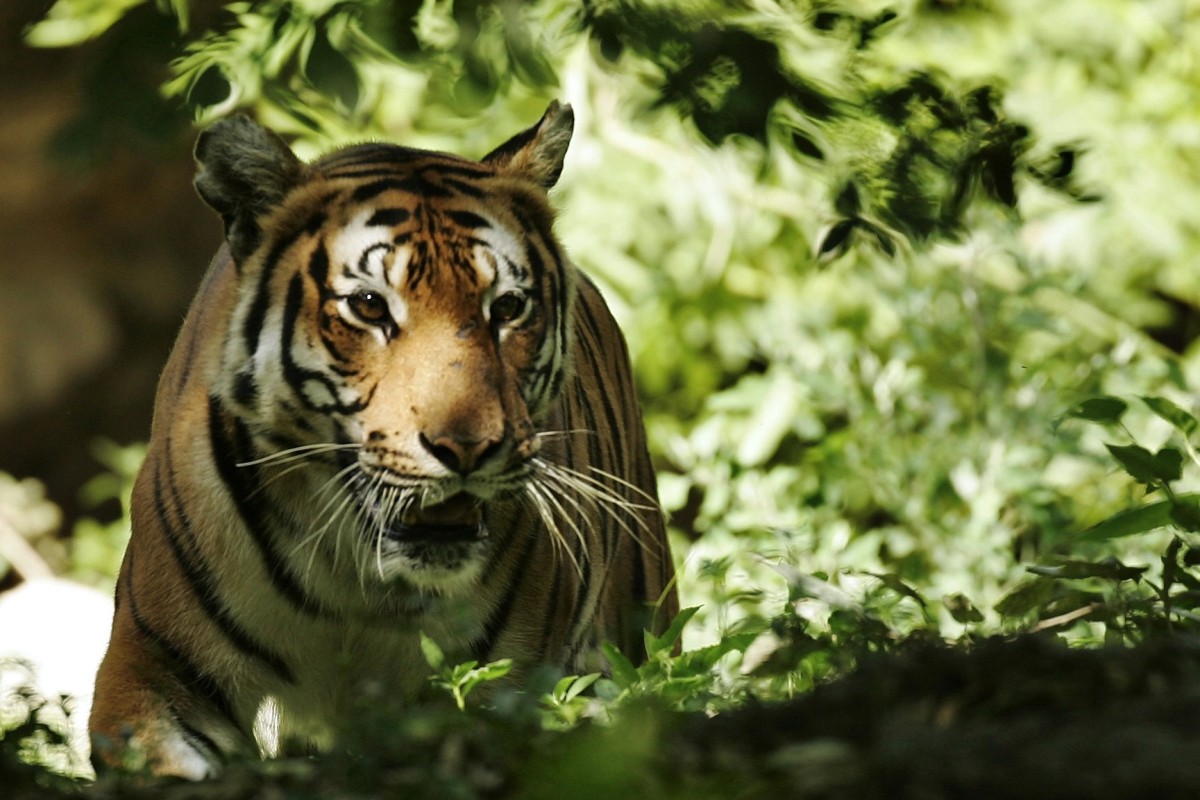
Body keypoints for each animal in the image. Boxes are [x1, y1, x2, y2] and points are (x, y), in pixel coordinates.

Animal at [87, 101, 678, 779]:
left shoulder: (503, 690)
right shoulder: (154, 668)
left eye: (507, 308)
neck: (352, 579)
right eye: (369, 306)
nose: (468, 448)